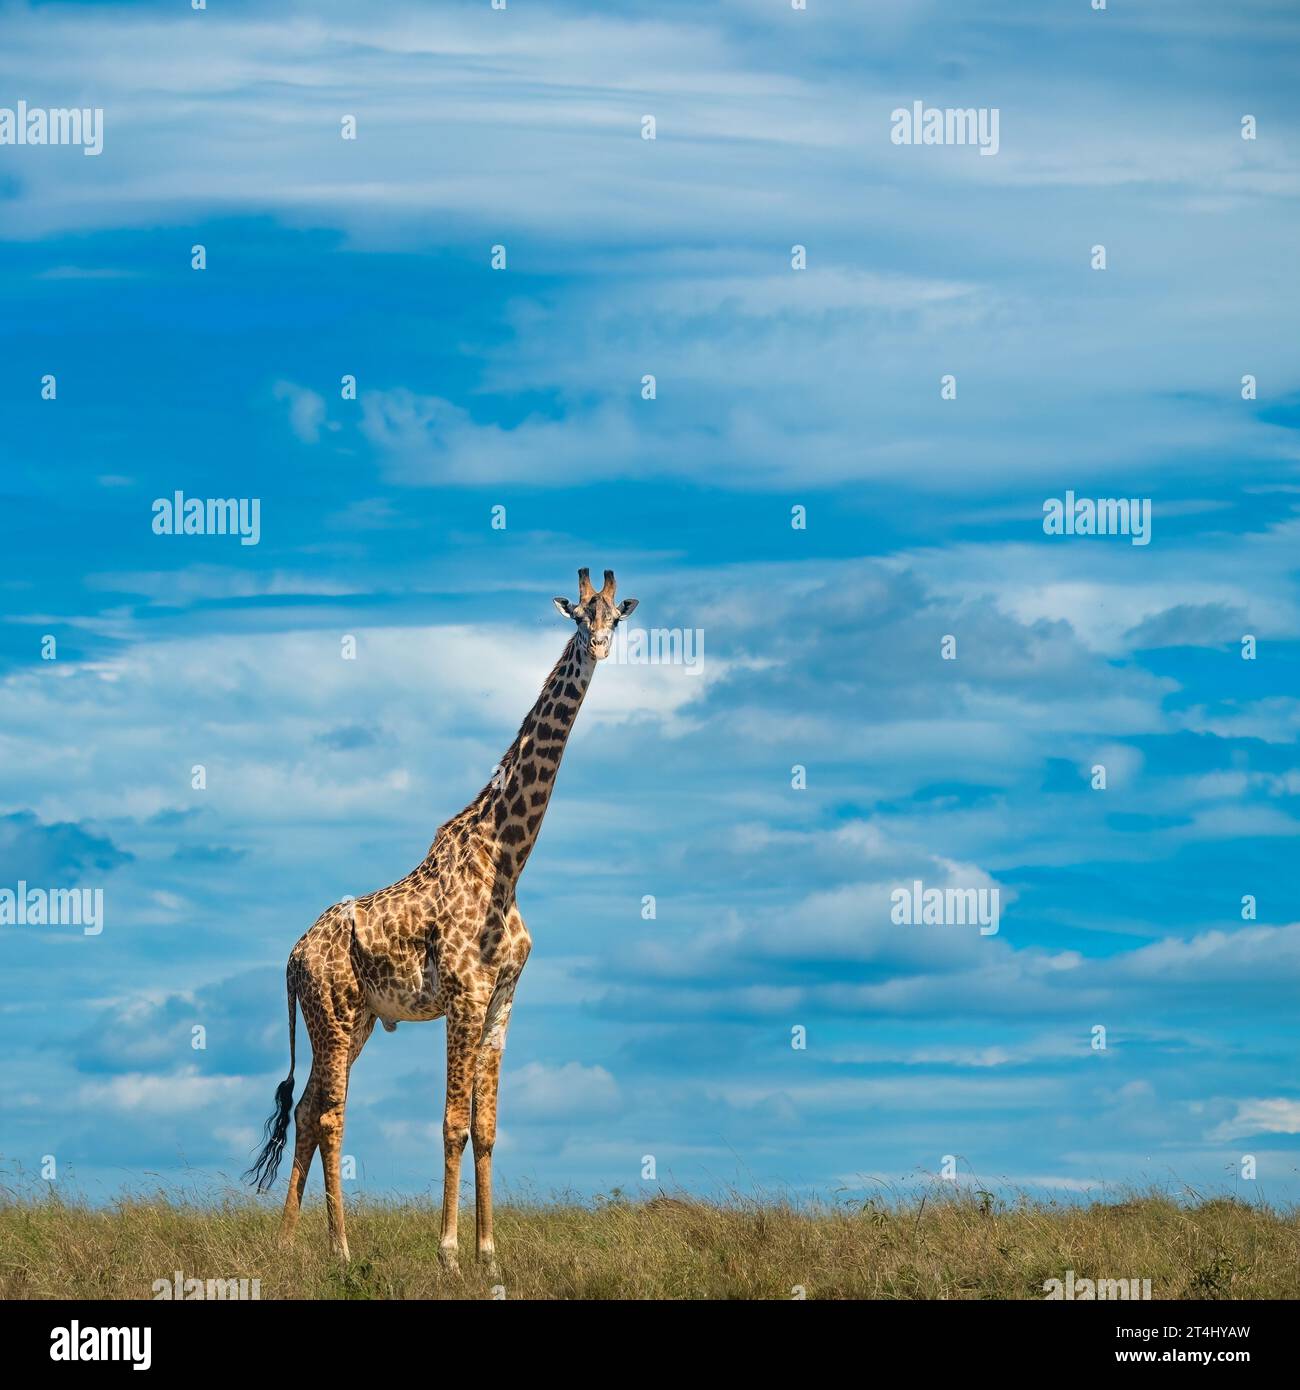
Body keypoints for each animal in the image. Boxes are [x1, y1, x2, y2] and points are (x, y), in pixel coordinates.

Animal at [245, 568, 638, 1272]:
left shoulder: (503, 999)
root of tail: (291, 959)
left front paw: (489, 1252)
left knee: (309, 1107)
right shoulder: (464, 995)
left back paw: (289, 1245)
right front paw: (450, 1251)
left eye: (615, 617)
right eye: (577, 618)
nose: (598, 648)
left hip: (351, 1021)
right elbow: (453, 1123)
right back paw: (340, 1248)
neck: (507, 859)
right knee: (331, 1116)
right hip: (334, 1016)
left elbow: (486, 1127)